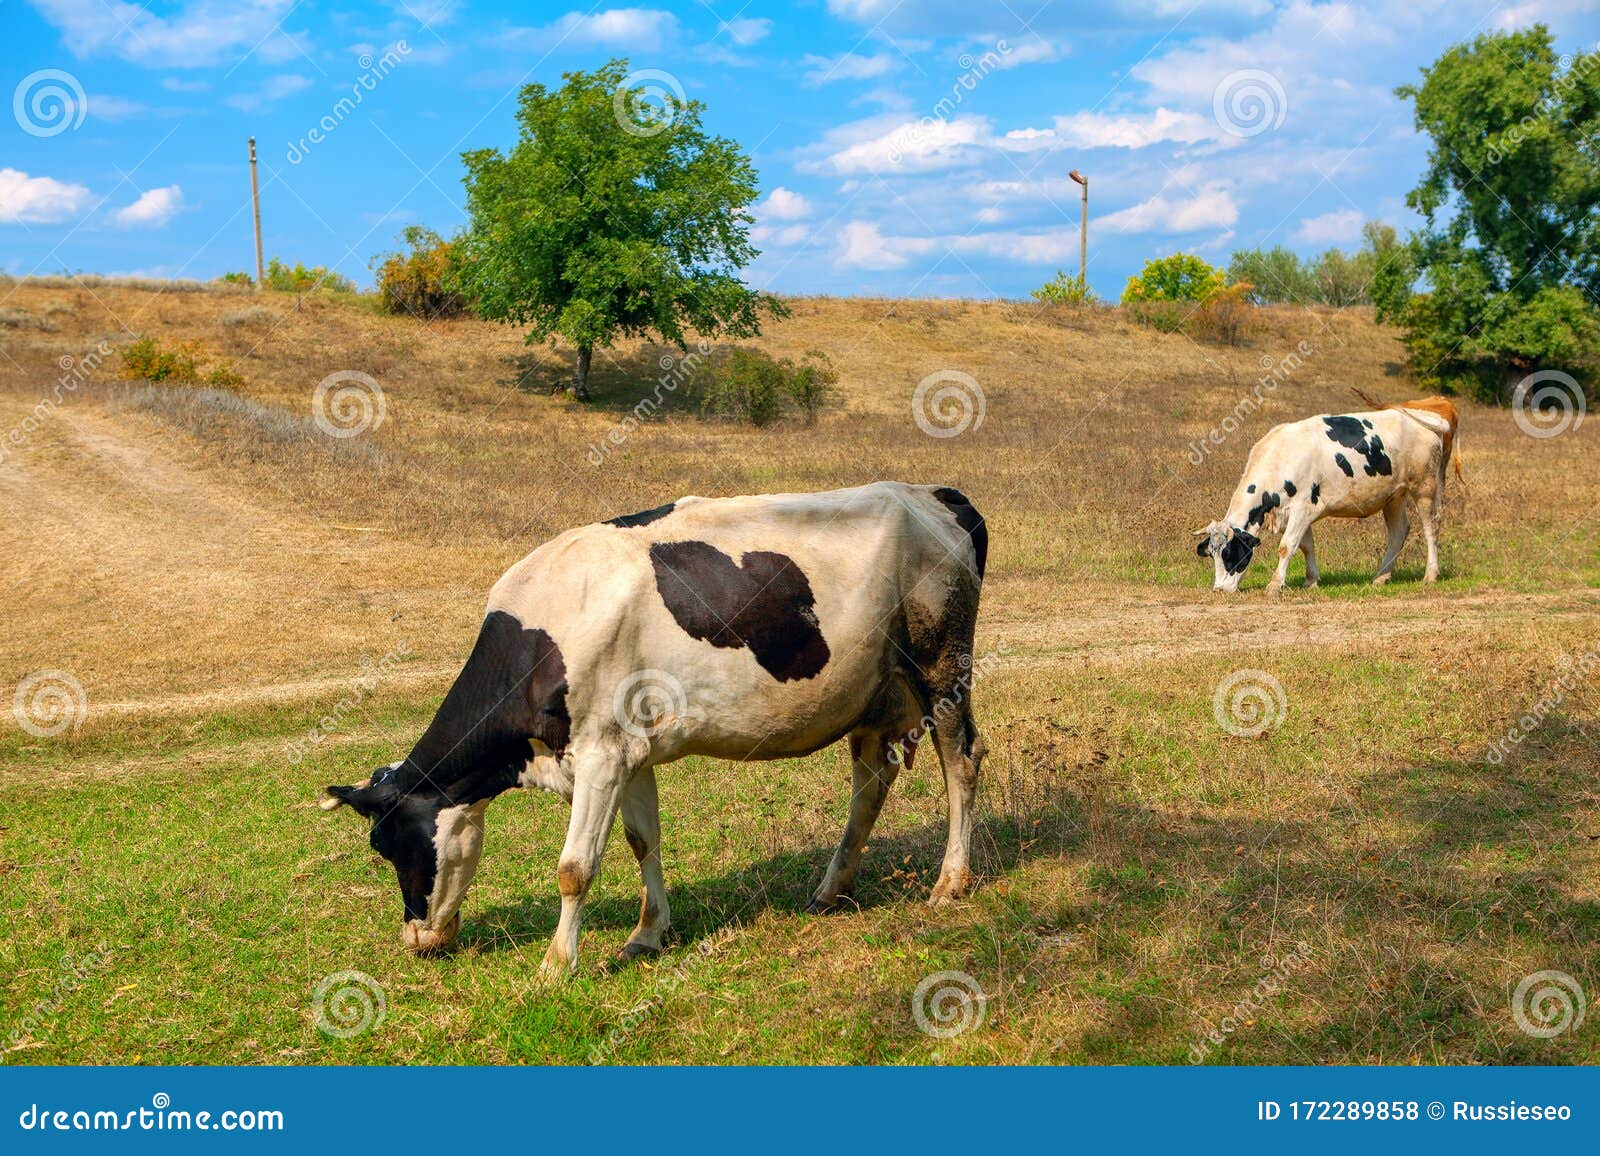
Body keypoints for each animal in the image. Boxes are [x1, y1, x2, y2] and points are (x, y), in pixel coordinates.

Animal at [321, 481, 988, 977]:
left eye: (392, 846)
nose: (416, 941)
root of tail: (930, 492)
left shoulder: (600, 752)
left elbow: (574, 866)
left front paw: (555, 966)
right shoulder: (629, 751)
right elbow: (643, 841)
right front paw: (648, 933)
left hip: (942, 665)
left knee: (962, 760)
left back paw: (950, 882)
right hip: (874, 692)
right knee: (870, 783)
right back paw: (831, 890)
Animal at [1195, 398, 1456, 592]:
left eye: (1230, 554)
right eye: (1212, 554)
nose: (1219, 589)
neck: (1282, 457)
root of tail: (1420, 417)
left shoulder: (1303, 508)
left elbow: (1287, 546)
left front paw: (1275, 584)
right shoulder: (1297, 513)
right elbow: (1305, 546)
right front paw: (1311, 581)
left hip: (1424, 486)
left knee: (1431, 527)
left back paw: (1430, 574)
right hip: (1392, 496)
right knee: (1399, 531)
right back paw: (1381, 576)